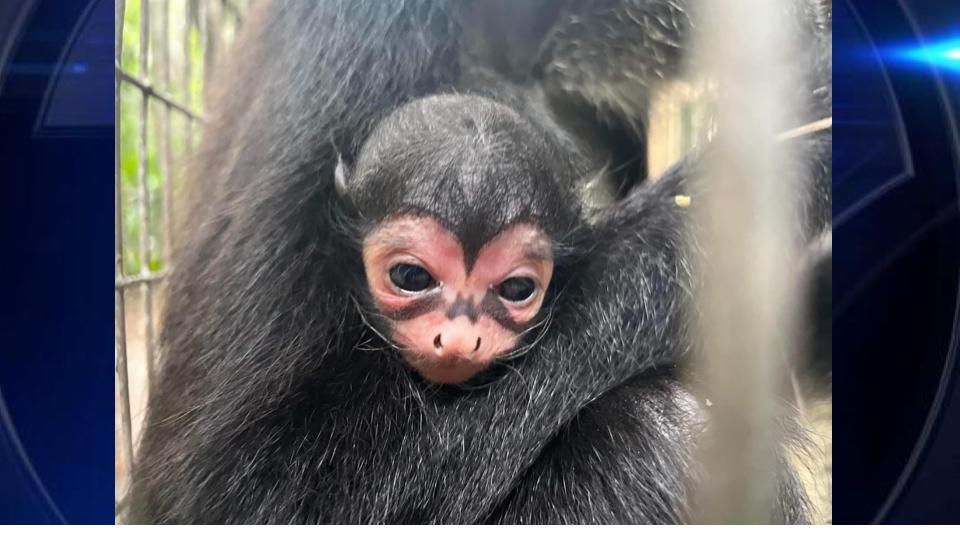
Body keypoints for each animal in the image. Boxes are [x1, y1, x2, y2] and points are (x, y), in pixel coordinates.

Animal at [125, 0, 832, 524]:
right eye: (412, 278)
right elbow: (226, 496)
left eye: (515, 287)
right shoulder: (358, 24)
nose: (460, 336)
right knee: (661, 427)